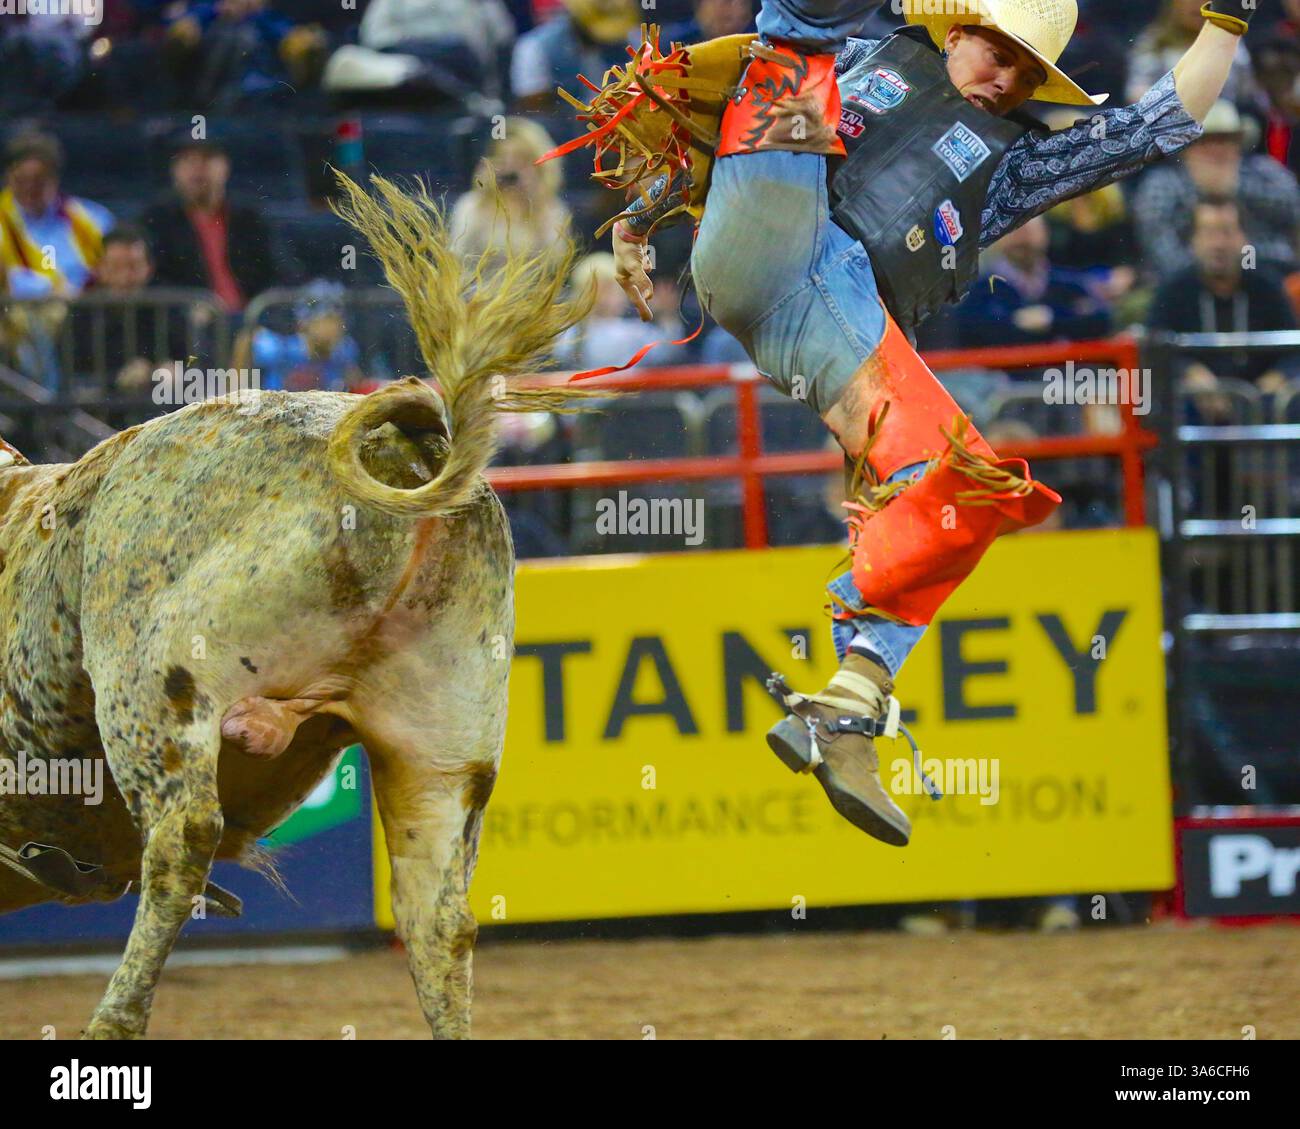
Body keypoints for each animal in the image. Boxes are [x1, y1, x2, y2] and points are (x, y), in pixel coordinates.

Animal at [0, 173, 599, 1039]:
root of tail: (399, 449)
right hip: (441, 747)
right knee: (438, 919)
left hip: (160, 687)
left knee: (183, 841)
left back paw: (113, 1019)